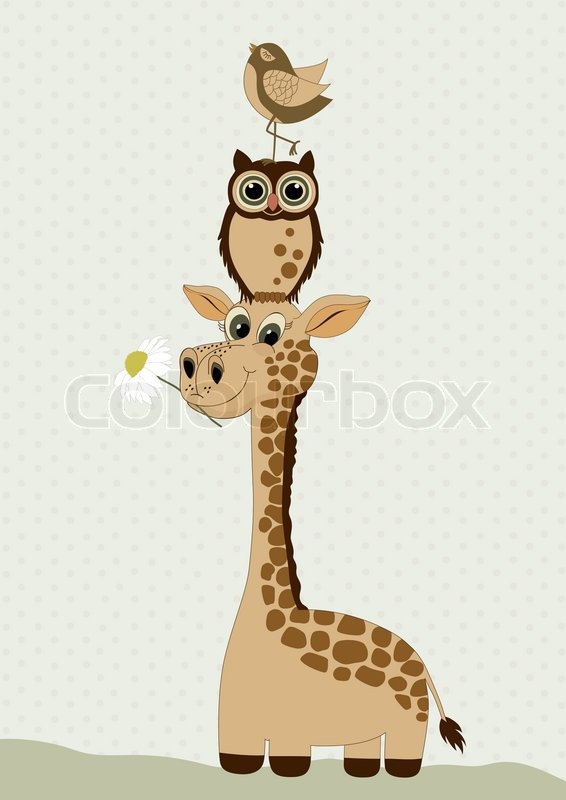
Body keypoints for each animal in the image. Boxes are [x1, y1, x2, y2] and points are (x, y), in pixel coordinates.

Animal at [181, 284, 465, 778]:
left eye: (271, 332)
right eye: (234, 324)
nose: (196, 367)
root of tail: (422, 663)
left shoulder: (292, 737)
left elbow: (290, 762)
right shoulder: (234, 734)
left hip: (411, 726)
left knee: (405, 757)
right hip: (366, 735)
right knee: (363, 756)